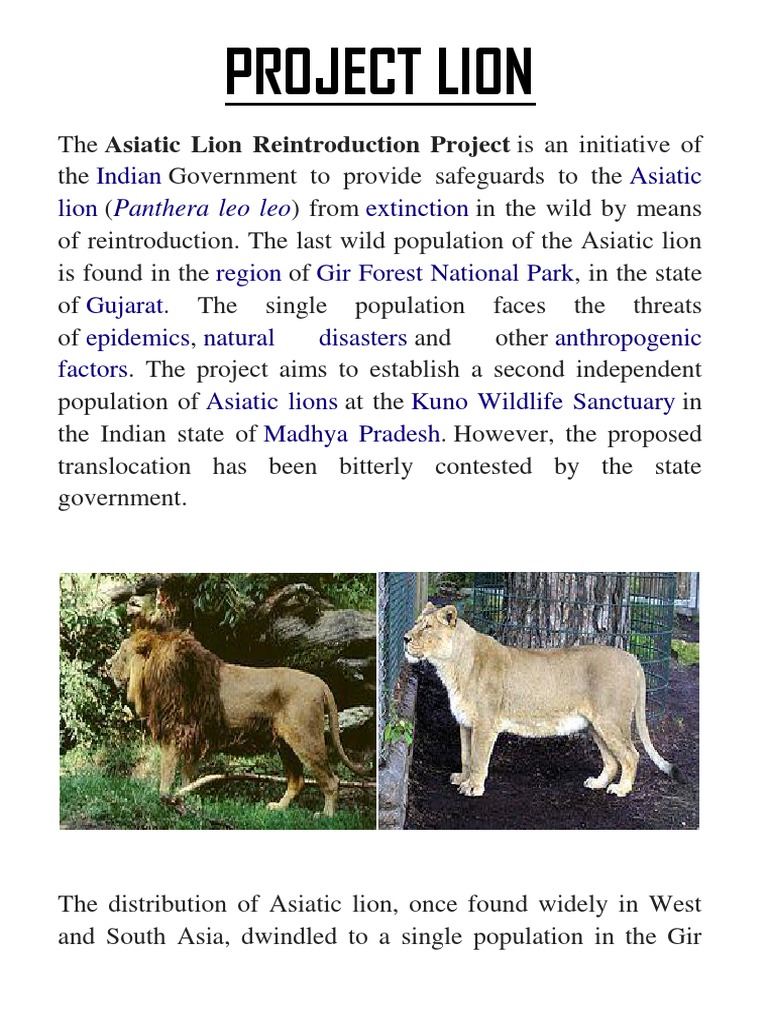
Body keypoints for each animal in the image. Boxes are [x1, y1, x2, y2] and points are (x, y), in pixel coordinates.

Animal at [109, 626, 365, 816]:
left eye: (122, 652)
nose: (107, 664)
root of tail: (320, 682)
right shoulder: (191, 735)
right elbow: (187, 773)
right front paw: (184, 796)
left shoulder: (175, 731)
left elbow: (167, 770)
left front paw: (162, 797)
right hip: (286, 745)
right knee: (297, 781)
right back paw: (278, 808)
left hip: (306, 739)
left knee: (332, 781)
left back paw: (326, 816)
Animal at [404, 603, 677, 798]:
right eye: (416, 623)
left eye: (427, 627)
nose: (405, 638)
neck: (452, 665)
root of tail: (633, 659)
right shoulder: (466, 723)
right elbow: (466, 755)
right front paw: (463, 778)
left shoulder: (485, 724)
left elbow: (479, 757)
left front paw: (473, 787)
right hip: (595, 725)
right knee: (611, 760)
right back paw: (598, 783)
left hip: (611, 720)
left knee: (631, 755)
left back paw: (621, 789)